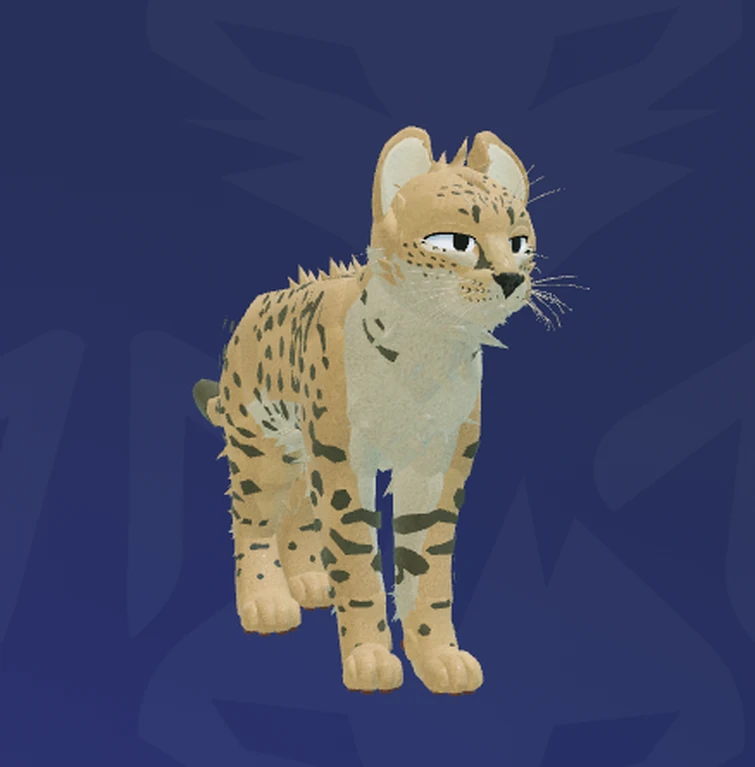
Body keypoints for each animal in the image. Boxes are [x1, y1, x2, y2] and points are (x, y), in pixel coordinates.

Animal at [193, 126, 538, 695]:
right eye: (455, 242)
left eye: (519, 243)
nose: (511, 278)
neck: (427, 351)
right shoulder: (346, 462)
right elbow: (357, 564)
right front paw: (371, 658)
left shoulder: (435, 467)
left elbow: (427, 571)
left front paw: (439, 657)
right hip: (262, 448)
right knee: (254, 522)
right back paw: (268, 600)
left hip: (304, 451)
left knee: (298, 512)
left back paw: (310, 580)